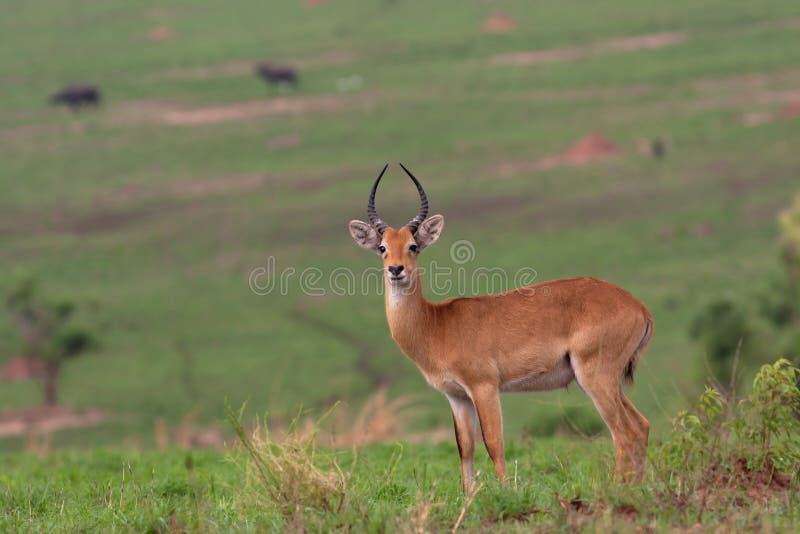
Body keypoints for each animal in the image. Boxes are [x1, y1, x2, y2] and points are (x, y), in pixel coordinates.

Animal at [348, 164, 654, 491]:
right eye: (382, 247)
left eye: (413, 246)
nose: (396, 269)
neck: (436, 324)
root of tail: (638, 306)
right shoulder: (456, 396)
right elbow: (465, 448)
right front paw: (469, 496)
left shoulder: (484, 387)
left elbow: (494, 443)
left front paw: (507, 493)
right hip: (610, 381)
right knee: (642, 426)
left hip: (595, 377)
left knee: (625, 434)